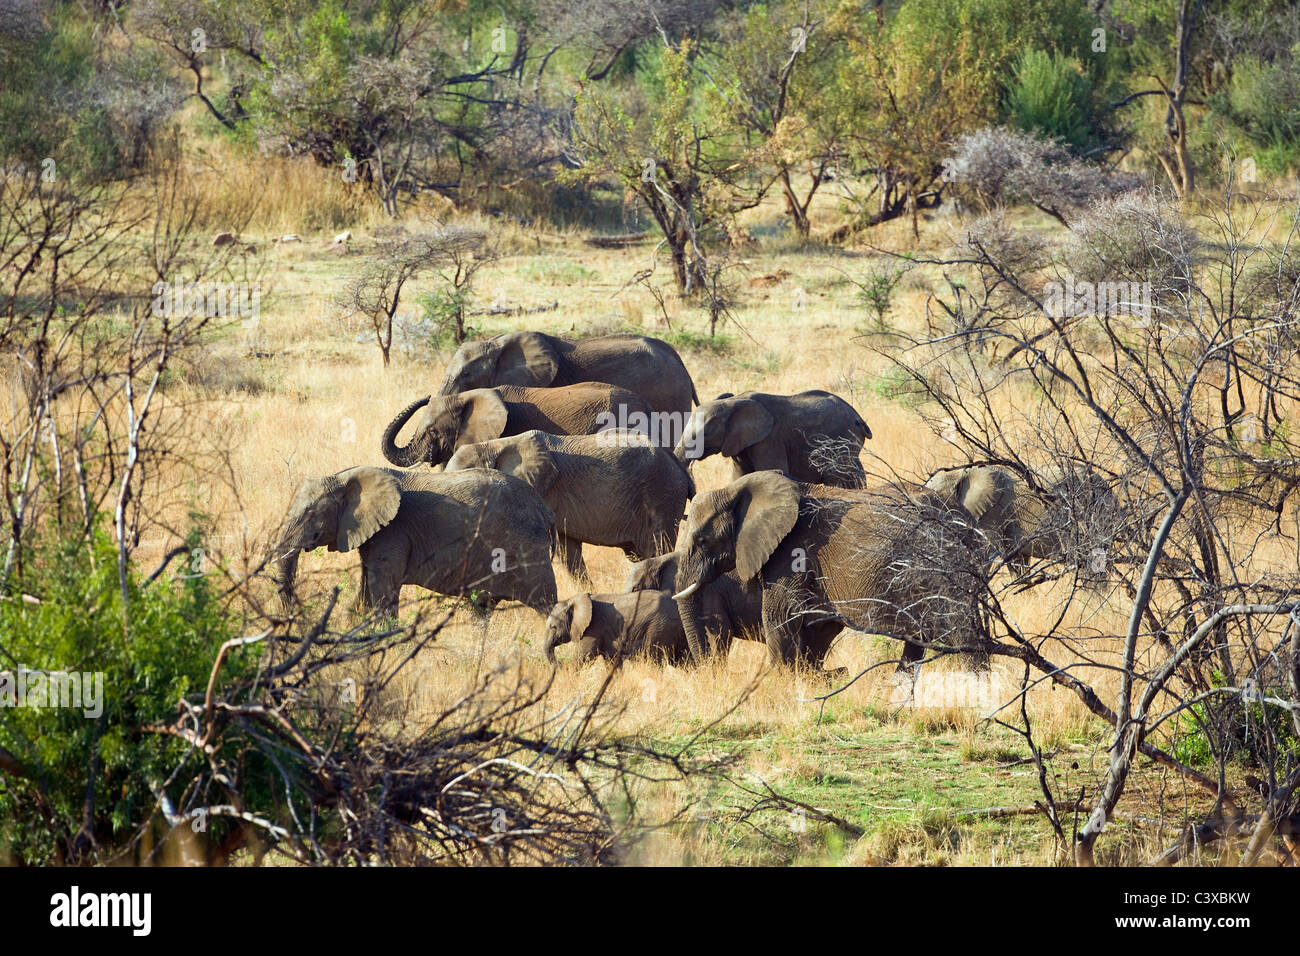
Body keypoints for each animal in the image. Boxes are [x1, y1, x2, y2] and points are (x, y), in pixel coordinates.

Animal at [272, 466, 558, 617]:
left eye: (310, 514)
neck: (345, 476)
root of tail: (544, 509)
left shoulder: (394, 532)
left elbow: (383, 591)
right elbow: (365, 591)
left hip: (527, 547)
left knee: (547, 603)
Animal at [543, 591, 691, 666]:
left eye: (553, 627)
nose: (560, 663)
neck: (572, 600)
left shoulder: (593, 628)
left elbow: (582, 658)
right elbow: (611, 662)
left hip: (661, 627)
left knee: (655, 659)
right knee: (685, 660)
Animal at [670, 471, 985, 674]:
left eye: (701, 540)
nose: (710, 670)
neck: (738, 489)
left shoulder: (792, 550)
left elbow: (778, 615)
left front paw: (777, 684)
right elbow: (819, 625)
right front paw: (805, 679)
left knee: (958, 626)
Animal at [673, 390, 870, 488]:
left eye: (703, 435)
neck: (732, 402)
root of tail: (859, 418)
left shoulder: (769, 440)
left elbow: (773, 470)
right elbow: (739, 477)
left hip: (840, 442)